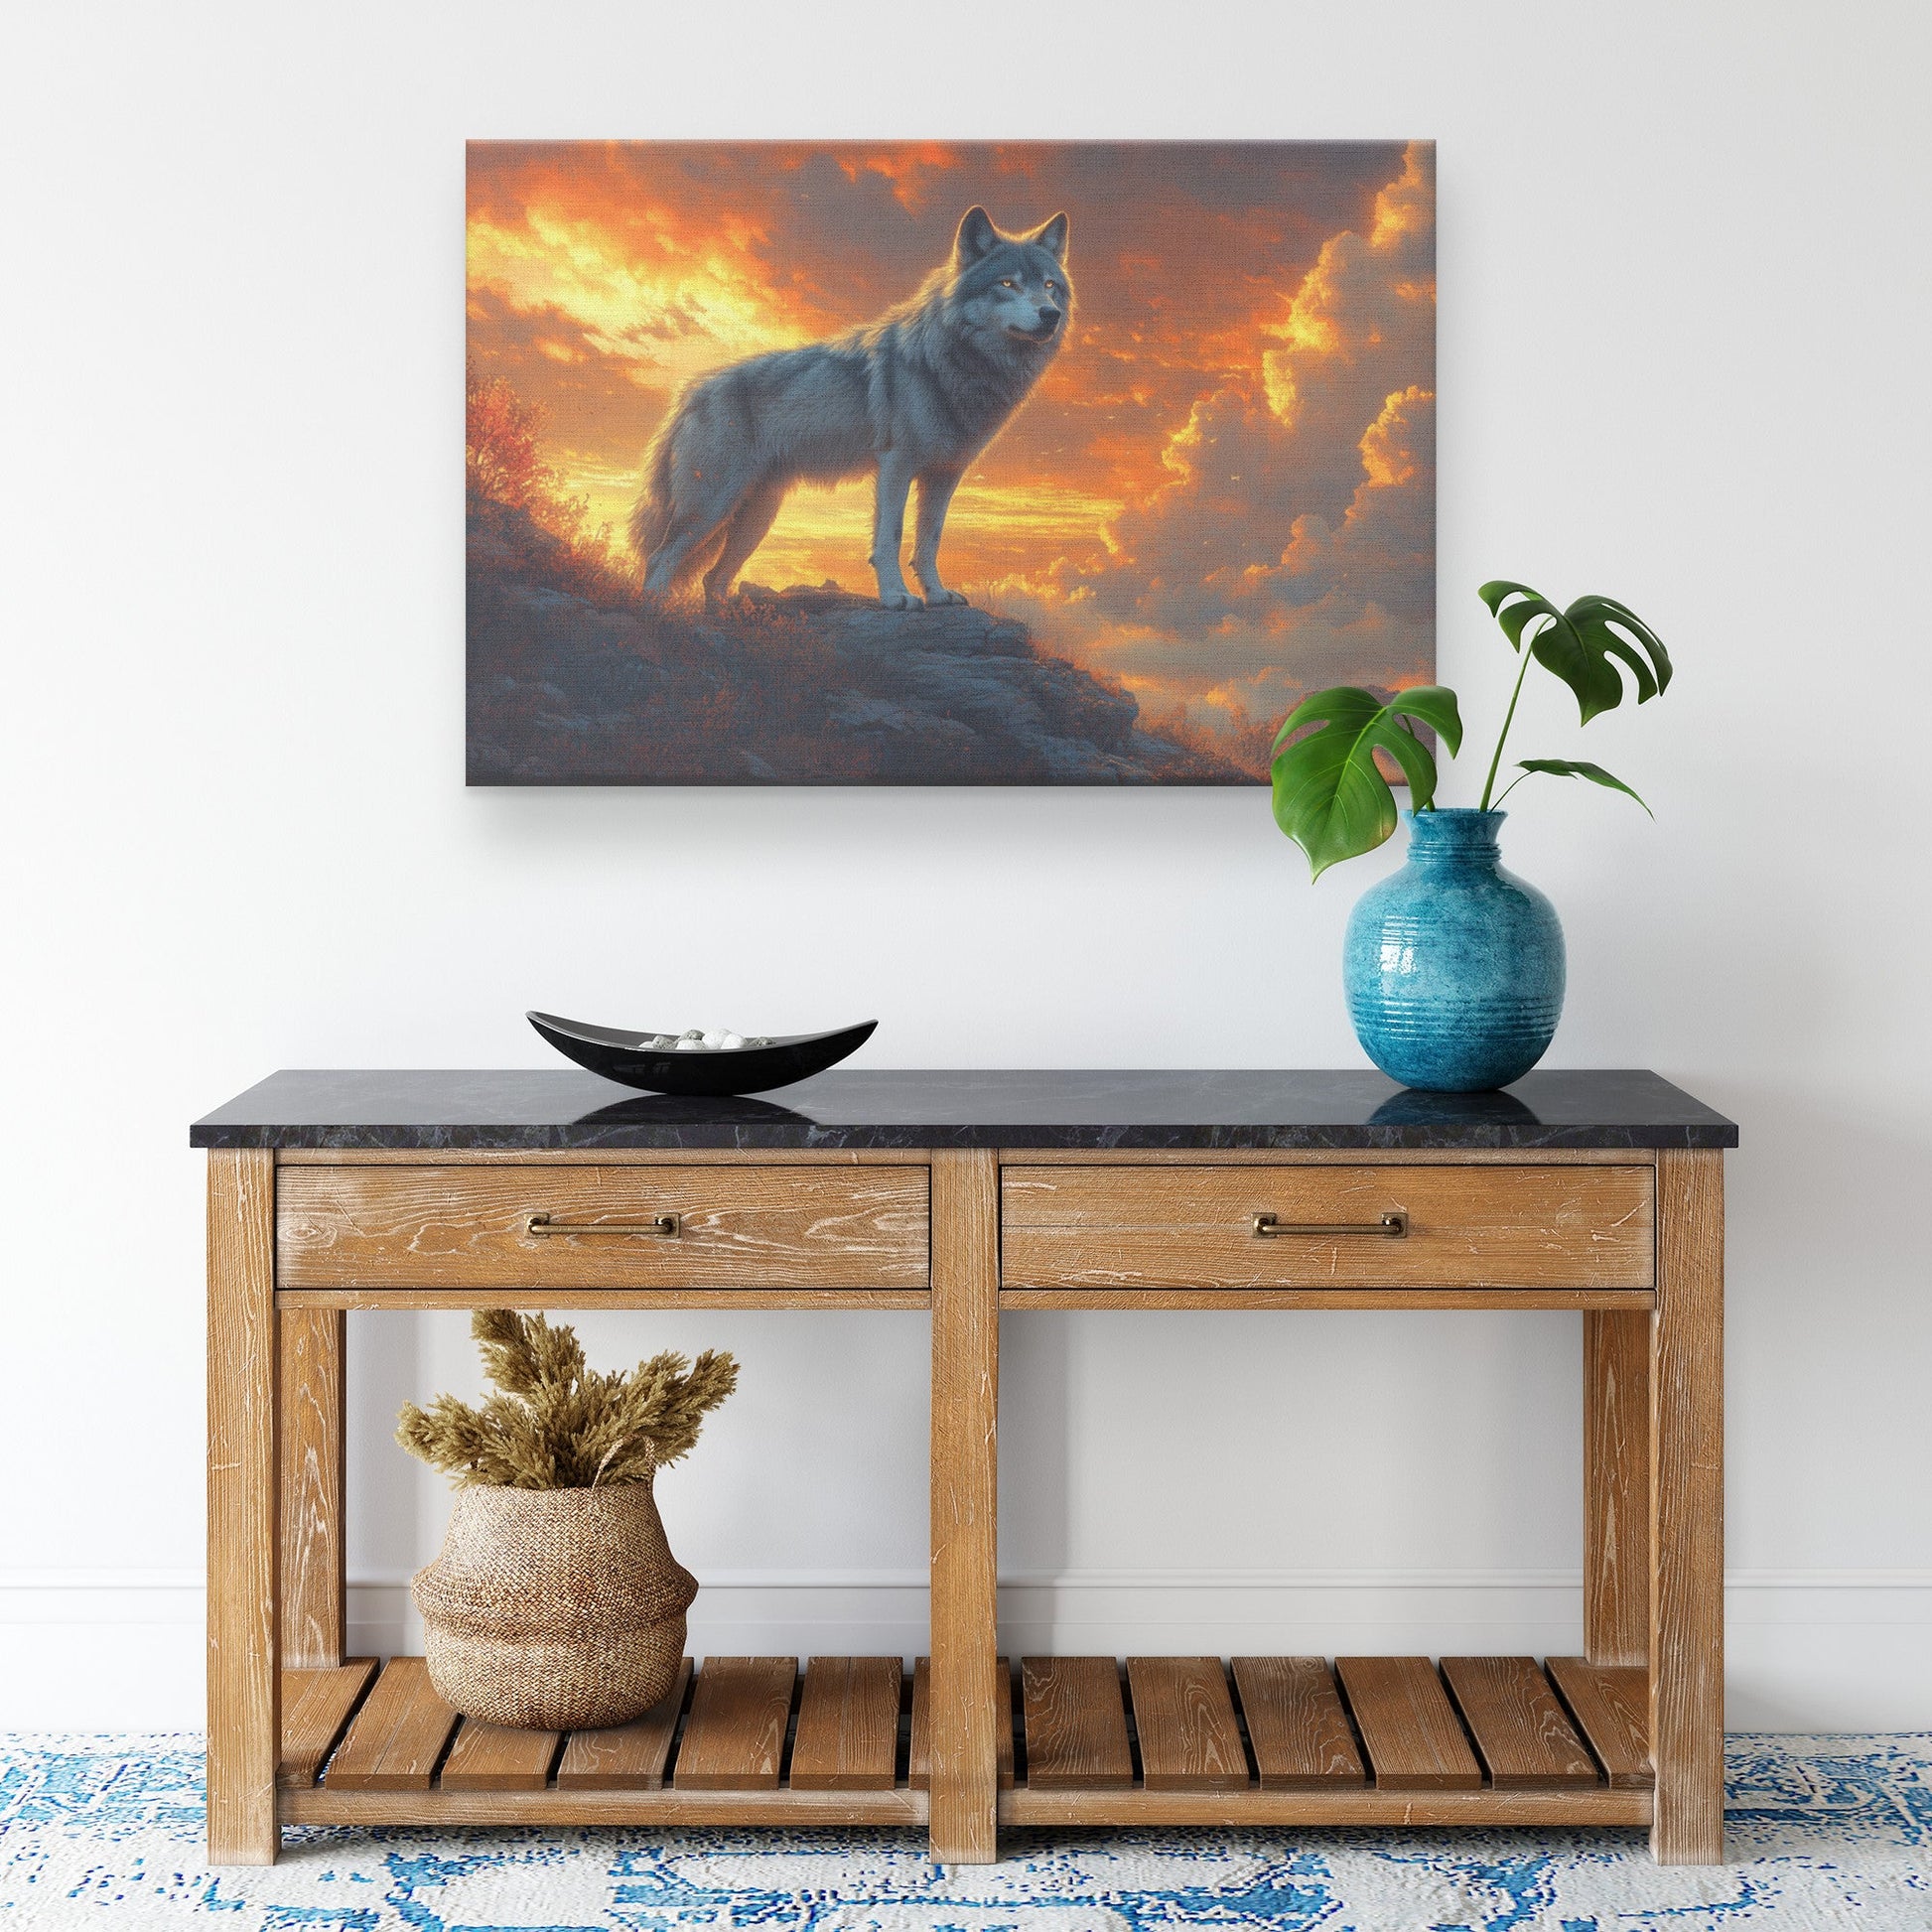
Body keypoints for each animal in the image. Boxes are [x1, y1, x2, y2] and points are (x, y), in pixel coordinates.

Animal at [630, 206, 1071, 610]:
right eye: (1008, 283)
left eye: (1049, 285)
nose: (1050, 314)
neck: (958, 363)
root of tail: (689, 393)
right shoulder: (896, 466)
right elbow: (890, 538)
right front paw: (896, 597)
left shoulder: (945, 475)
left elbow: (929, 542)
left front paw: (937, 595)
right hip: (711, 507)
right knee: (660, 558)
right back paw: (657, 610)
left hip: (755, 519)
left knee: (713, 578)